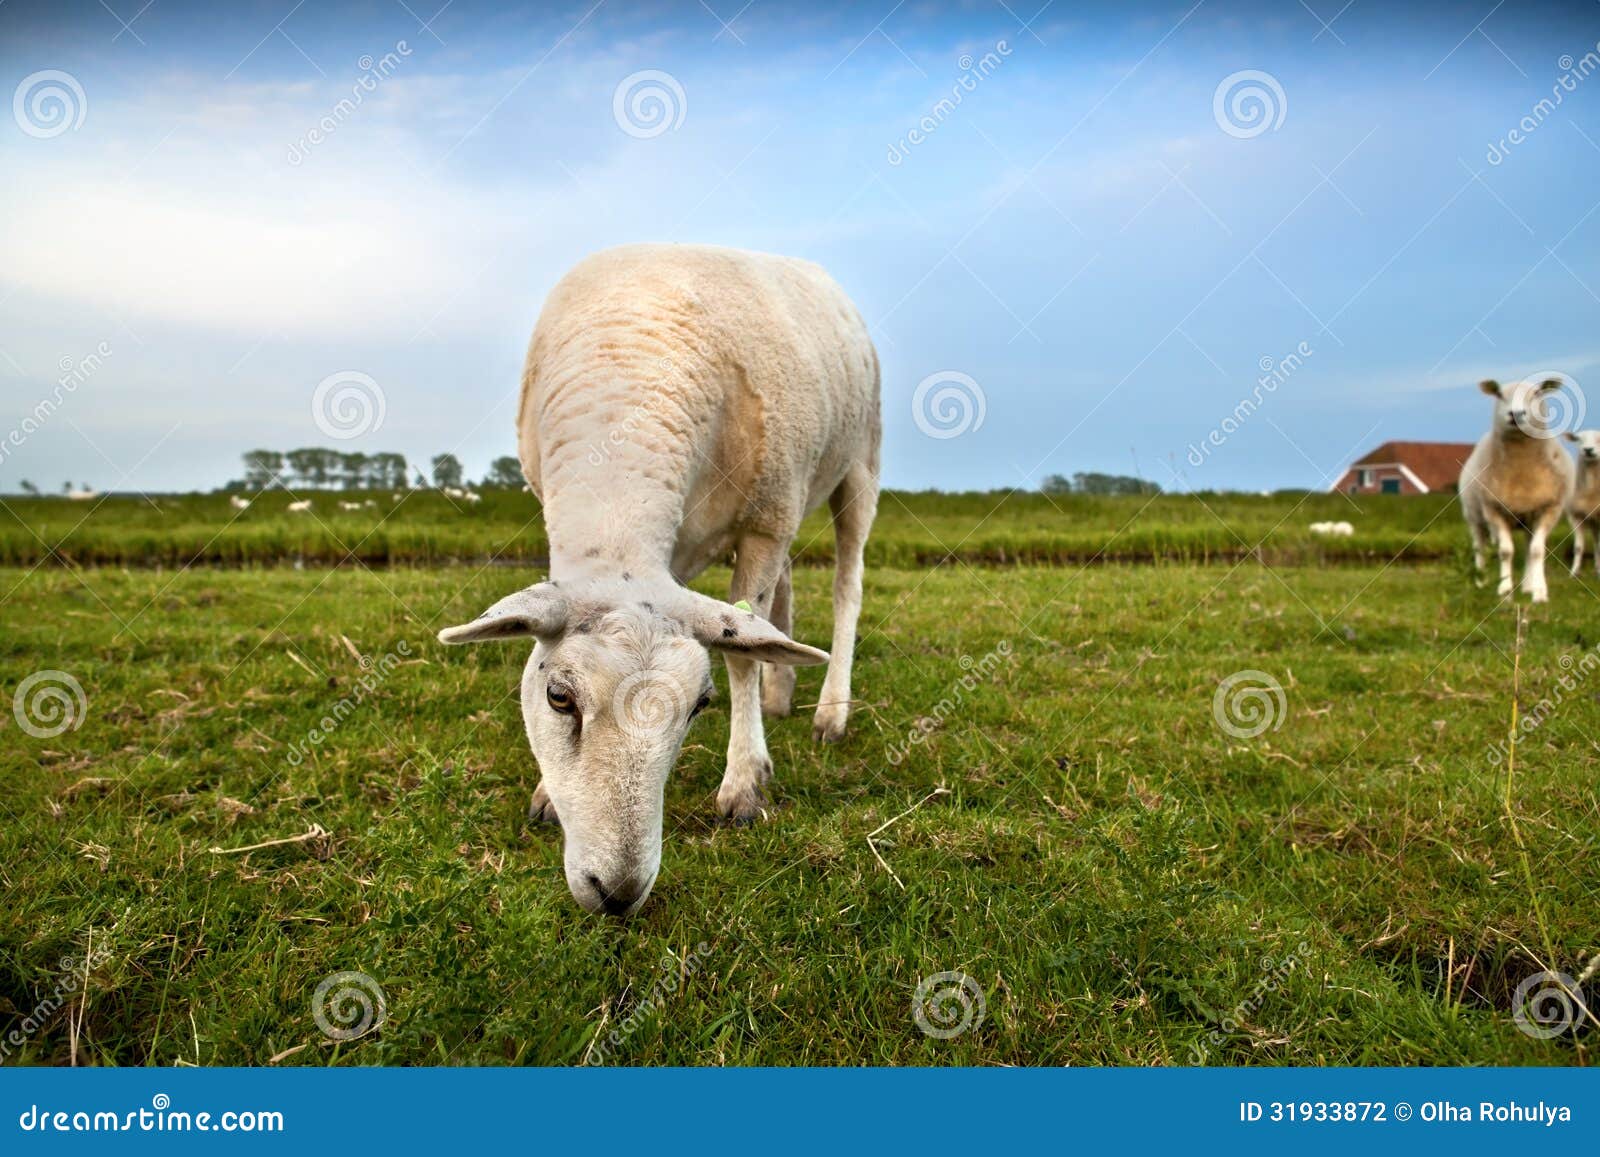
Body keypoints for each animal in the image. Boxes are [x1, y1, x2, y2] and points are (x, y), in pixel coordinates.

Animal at [437, 243, 880, 916]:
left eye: (700, 705)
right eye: (558, 697)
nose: (617, 892)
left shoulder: (767, 517)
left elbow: (740, 655)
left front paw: (744, 784)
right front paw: (544, 792)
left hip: (858, 463)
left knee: (844, 588)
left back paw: (830, 712)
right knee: (782, 598)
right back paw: (781, 696)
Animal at [1460, 378, 1576, 603]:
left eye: (1537, 394)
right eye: (1499, 395)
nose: (1515, 414)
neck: (1522, 473)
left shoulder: (1549, 509)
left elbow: (1537, 551)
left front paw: (1539, 592)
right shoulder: (1493, 509)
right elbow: (1505, 551)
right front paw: (1505, 591)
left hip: (1528, 519)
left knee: (1529, 548)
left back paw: (1527, 586)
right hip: (1474, 516)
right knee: (1480, 546)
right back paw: (1480, 581)